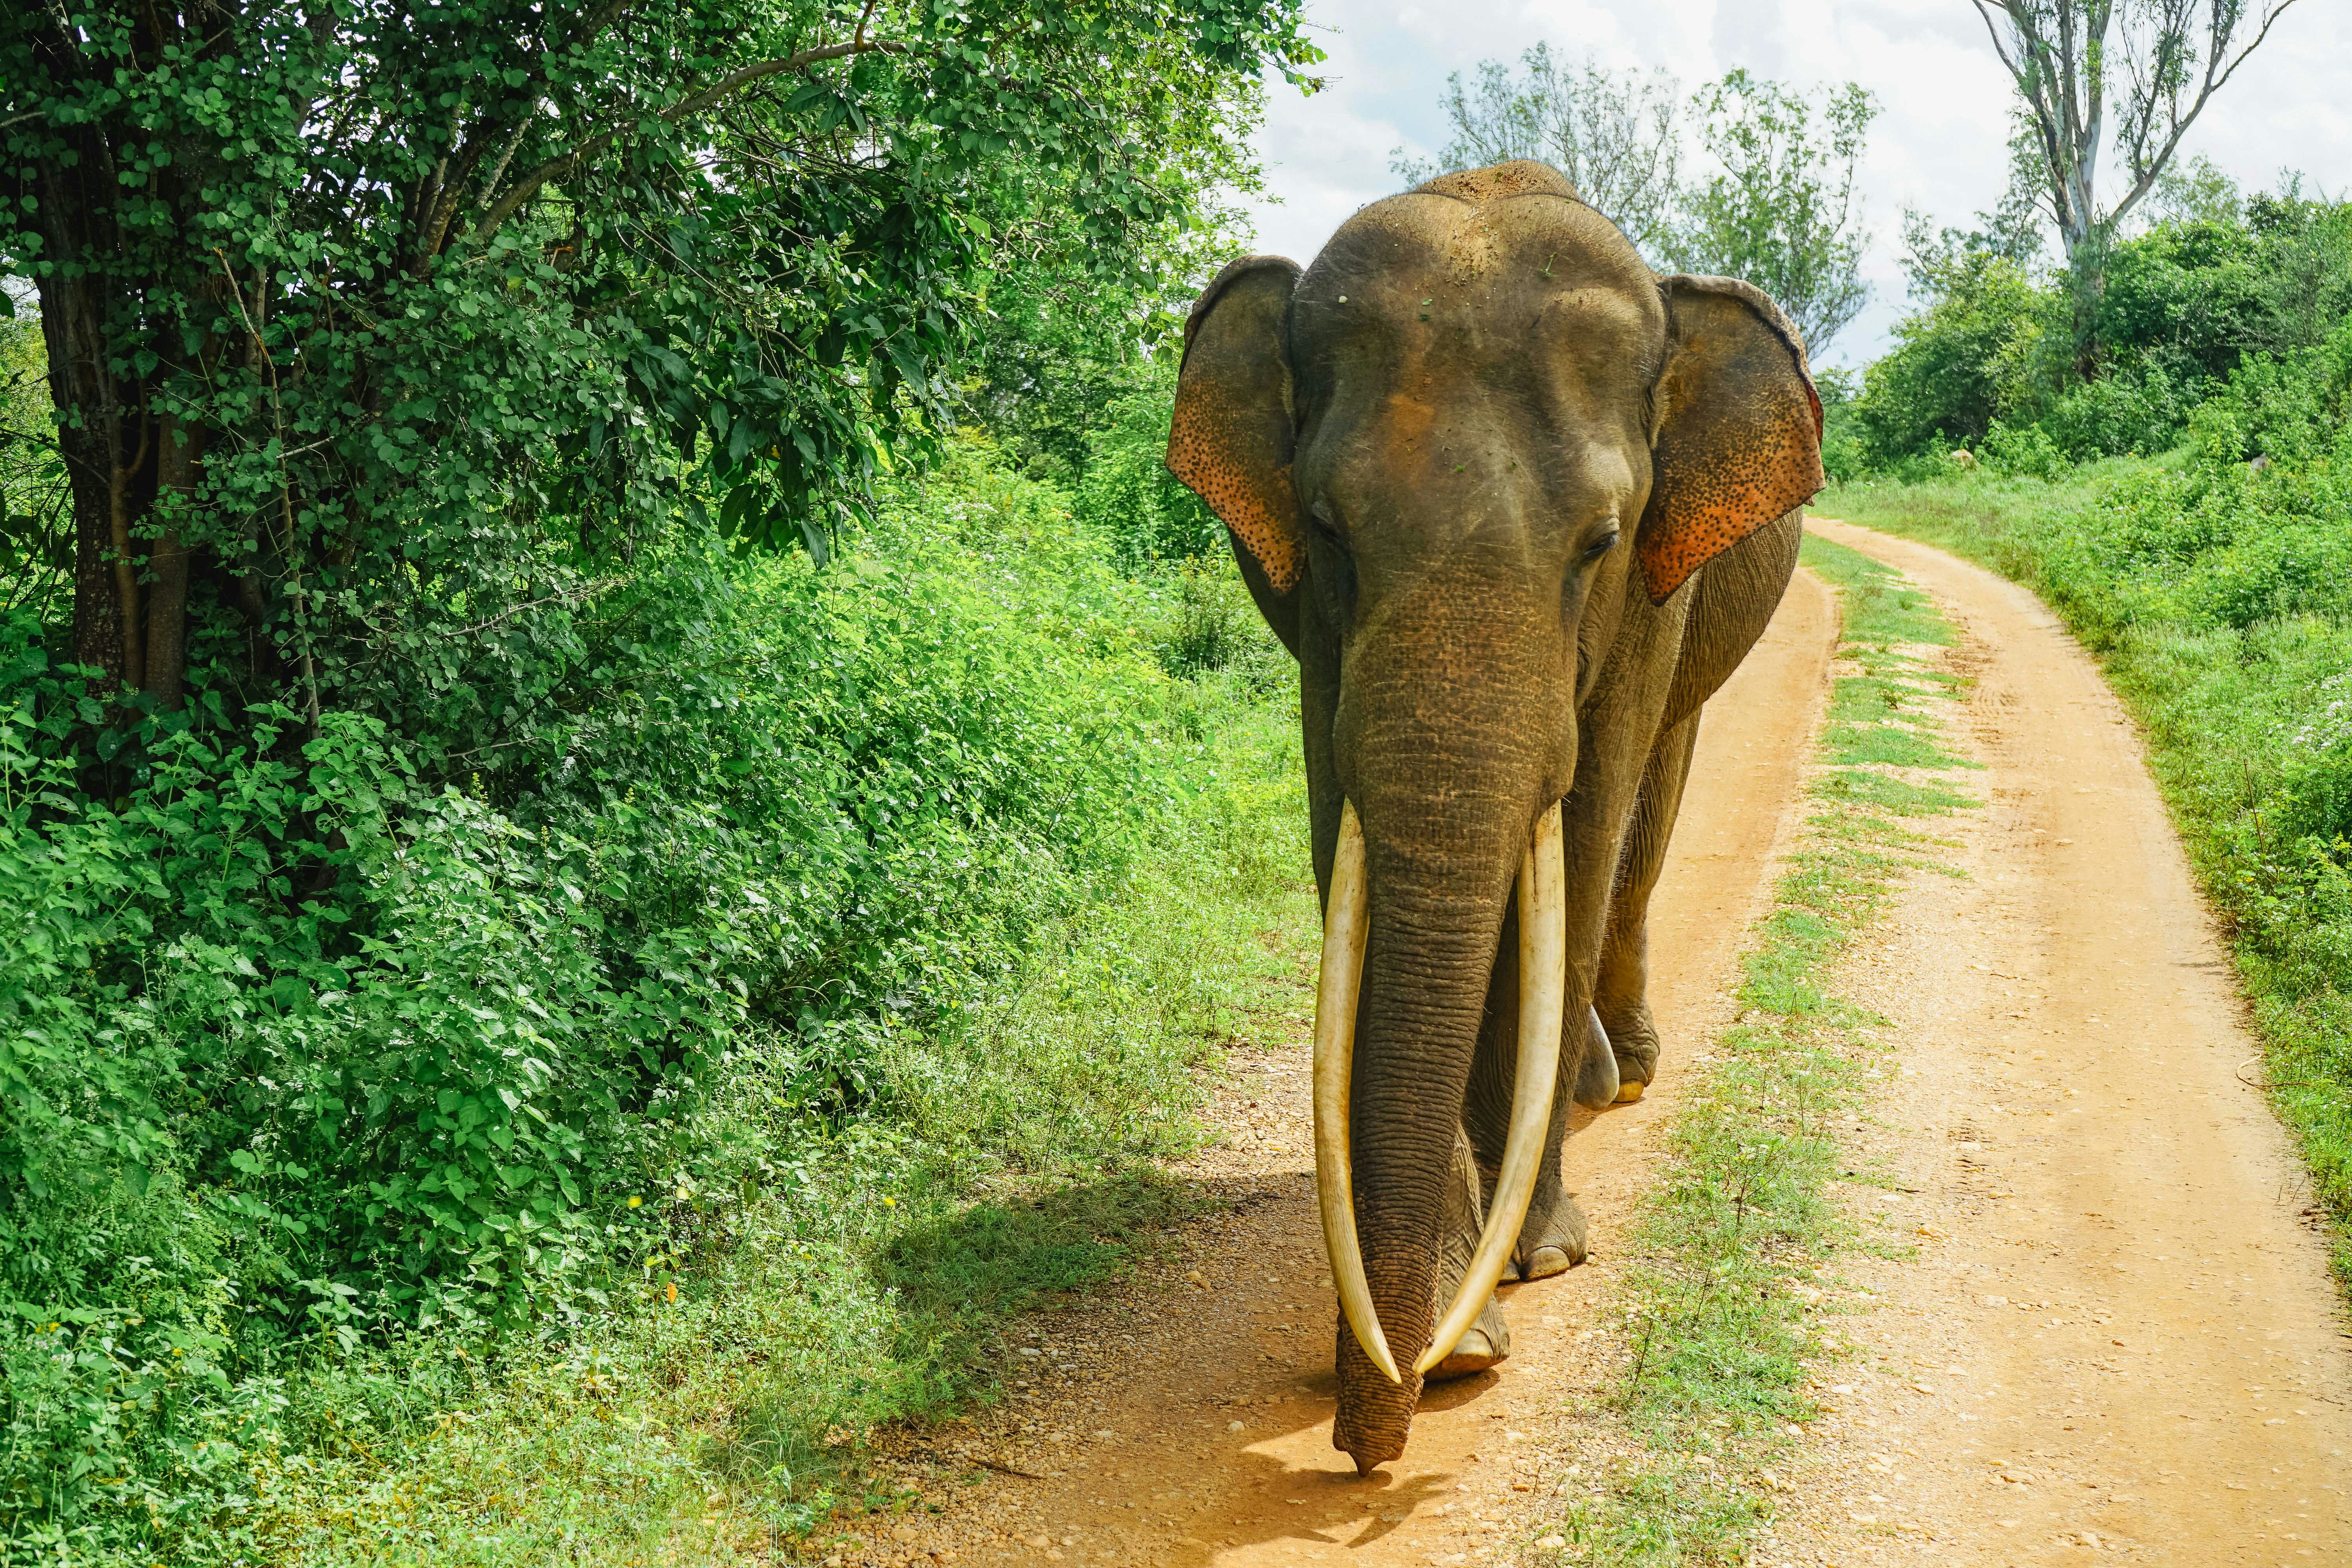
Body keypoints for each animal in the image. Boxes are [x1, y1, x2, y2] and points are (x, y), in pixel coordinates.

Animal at [1162, 161, 1823, 1472]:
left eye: (1601, 541)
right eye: (1325, 528)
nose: (1368, 1443)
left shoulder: (1648, 595)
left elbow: (1582, 830)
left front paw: (1541, 1261)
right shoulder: (1317, 631)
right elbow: (1346, 836)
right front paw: (1458, 1338)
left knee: (1640, 836)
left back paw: (1620, 1078)